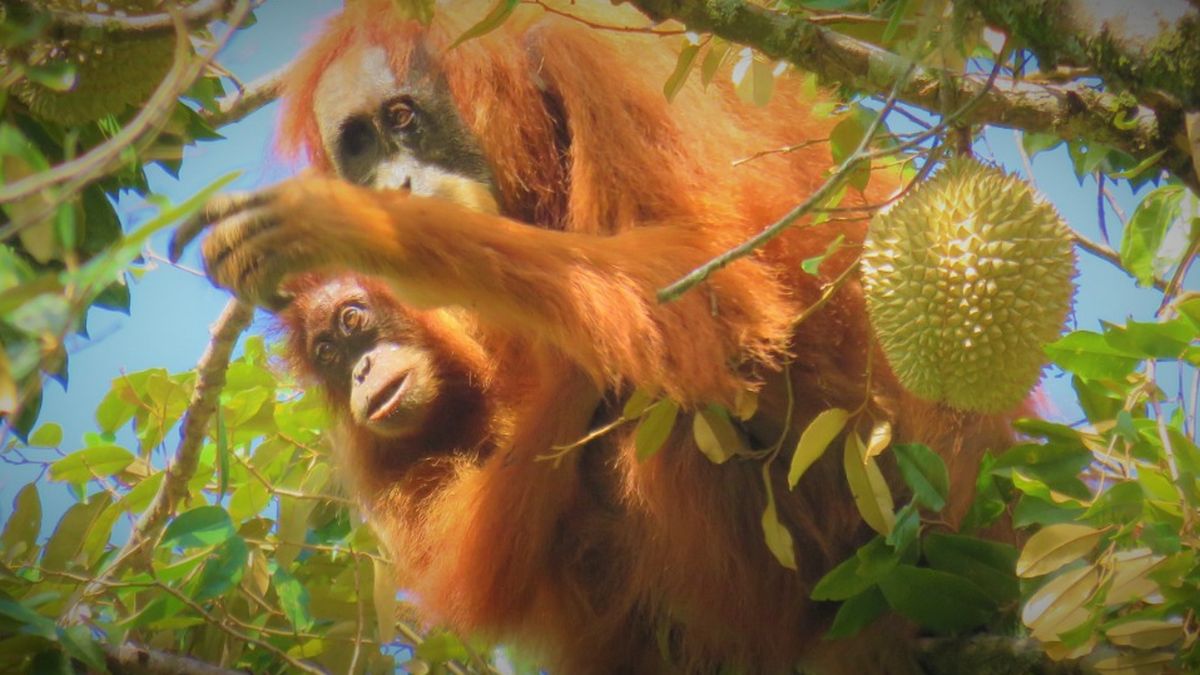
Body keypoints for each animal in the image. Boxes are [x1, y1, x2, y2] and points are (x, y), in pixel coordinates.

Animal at [170, 2, 1025, 672]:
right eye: (358, 149)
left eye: (401, 119)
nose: (394, 184)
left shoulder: (595, 62)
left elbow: (714, 293)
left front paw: (367, 227)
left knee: (677, 397)